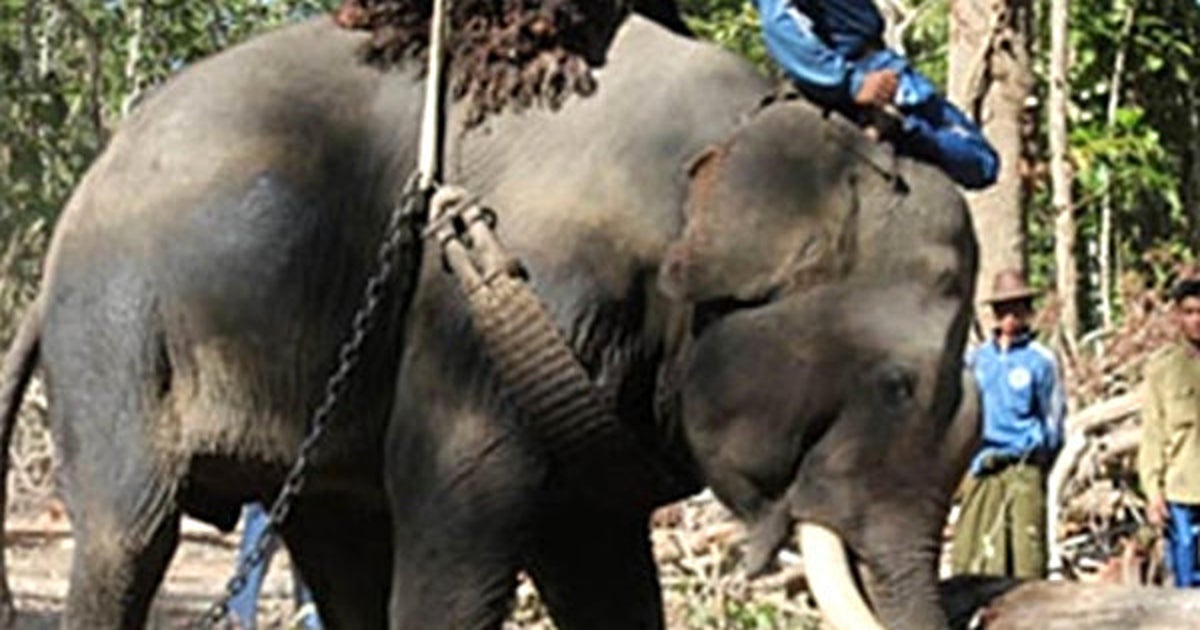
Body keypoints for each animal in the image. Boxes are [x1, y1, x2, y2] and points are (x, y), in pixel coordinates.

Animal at [0, 7, 979, 630]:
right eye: (897, 386)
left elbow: (605, 575)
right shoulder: (493, 305)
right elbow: (461, 540)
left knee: (339, 537)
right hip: (116, 332)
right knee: (131, 533)